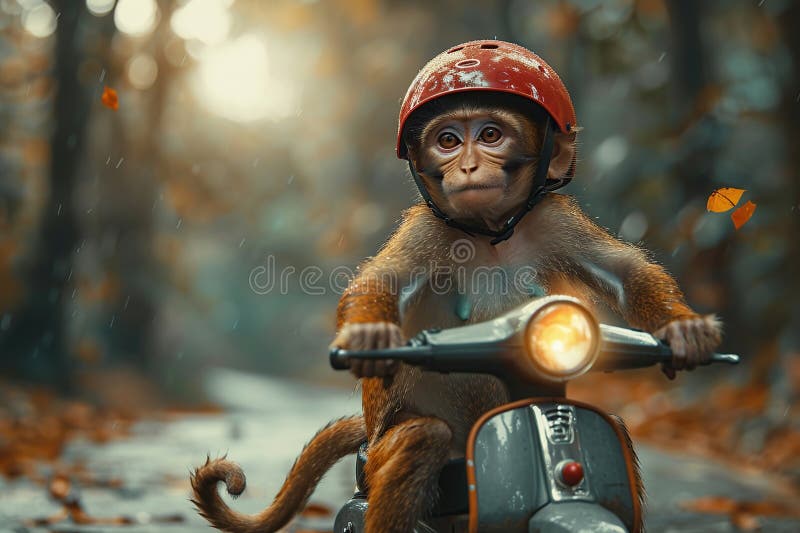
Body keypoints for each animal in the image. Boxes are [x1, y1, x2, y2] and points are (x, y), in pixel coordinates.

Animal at [191, 41, 722, 533]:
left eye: (490, 134)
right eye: (447, 140)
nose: (466, 166)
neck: (490, 234)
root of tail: (366, 437)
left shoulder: (552, 218)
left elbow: (624, 270)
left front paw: (685, 329)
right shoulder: (429, 229)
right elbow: (382, 279)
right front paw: (367, 338)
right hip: (380, 457)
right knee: (419, 440)